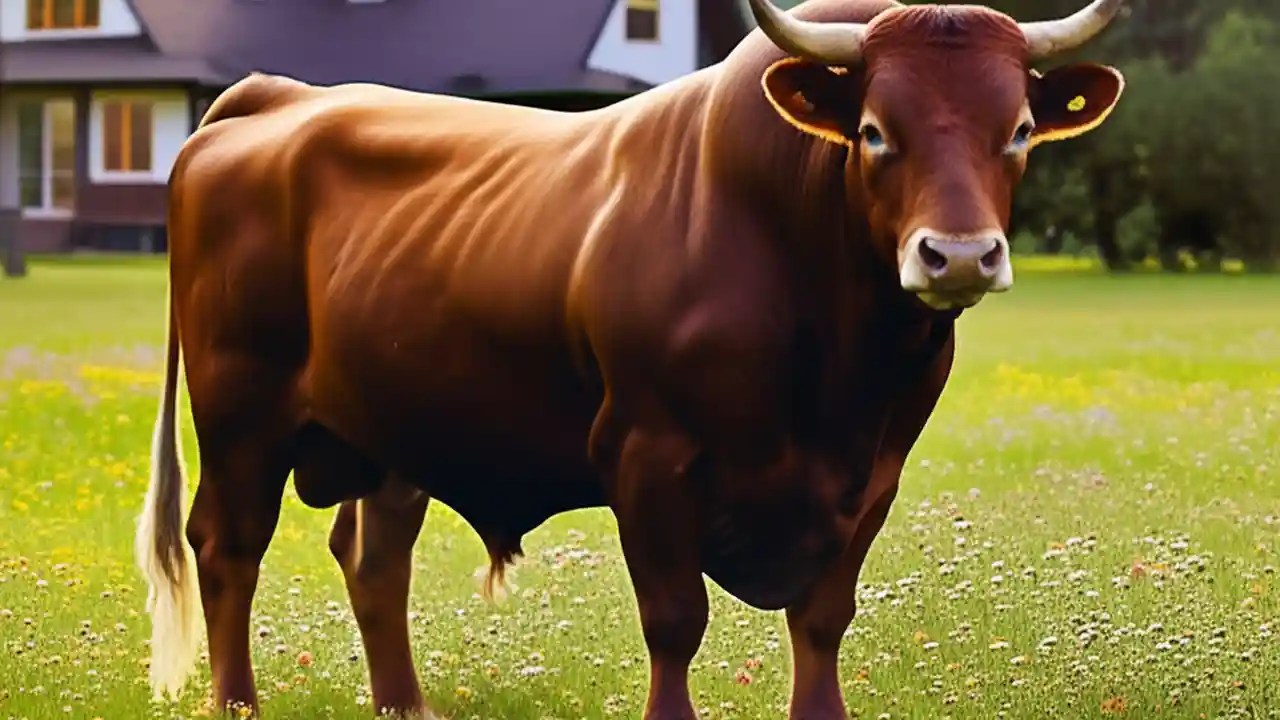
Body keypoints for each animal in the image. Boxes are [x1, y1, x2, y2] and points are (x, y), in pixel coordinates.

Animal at [134, 0, 1125, 717]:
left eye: (1021, 129)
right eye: (877, 129)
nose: (958, 256)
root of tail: (281, 94)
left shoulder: (872, 473)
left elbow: (822, 618)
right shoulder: (649, 454)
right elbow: (675, 620)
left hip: (395, 426)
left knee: (374, 560)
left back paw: (405, 707)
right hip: (240, 412)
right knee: (228, 547)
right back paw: (237, 705)